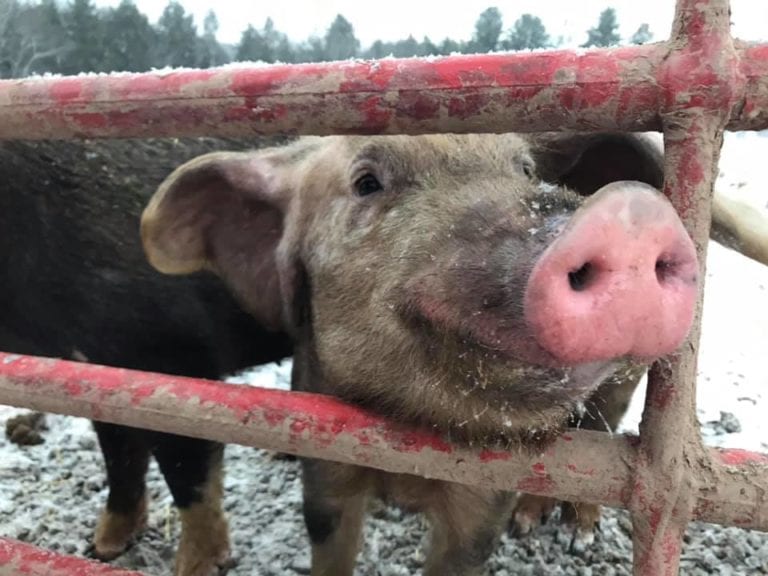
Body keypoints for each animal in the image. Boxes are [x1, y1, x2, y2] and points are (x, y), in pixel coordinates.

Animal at [0, 137, 292, 576]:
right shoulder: (97, 373)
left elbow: (187, 473)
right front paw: (101, 549)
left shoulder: (175, 356)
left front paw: (195, 567)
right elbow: (121, 458)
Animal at [141, 131, 707, 576]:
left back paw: (563, 530)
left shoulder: (488, 489)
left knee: (600, 435)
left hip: (625, 384)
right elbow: (330, 544)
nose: (631, 211)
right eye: (367, 182)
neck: (411, 429)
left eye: (525, 169)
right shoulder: (326, 453)